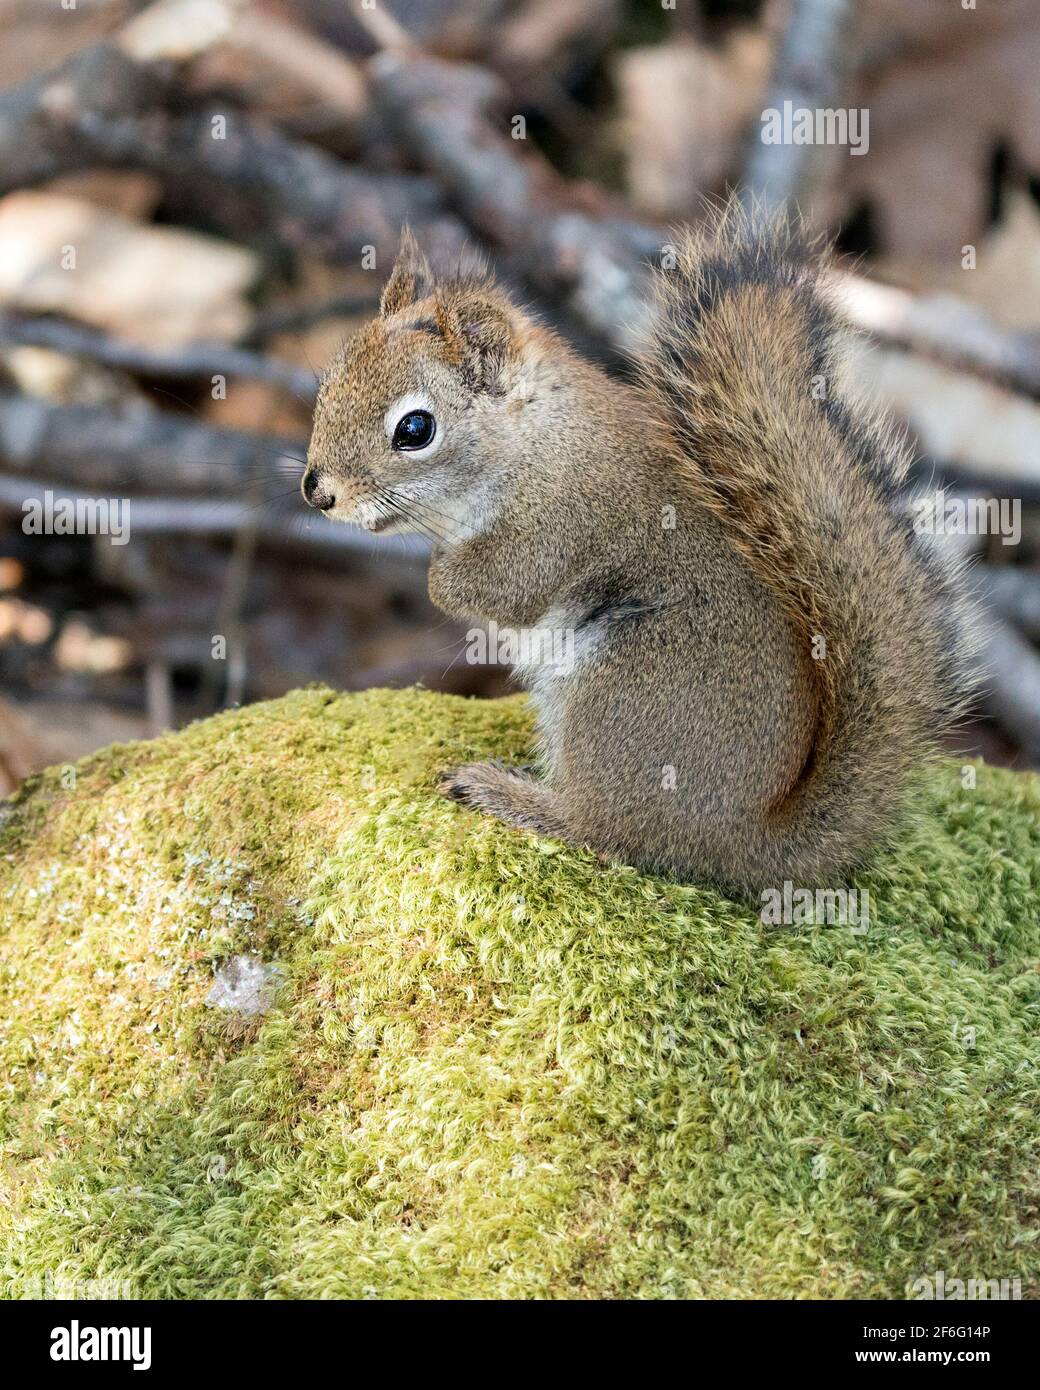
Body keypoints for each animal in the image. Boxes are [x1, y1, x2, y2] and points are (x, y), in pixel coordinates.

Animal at [303, 201, 976, 895]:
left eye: (415, 429)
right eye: (329, 380)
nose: (317, 492)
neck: (535, 439)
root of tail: (748, 843)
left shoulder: (557, 526)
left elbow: (508, 588)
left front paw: (439, 578)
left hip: (625, 685)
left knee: (601, 828)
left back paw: (509, 795)